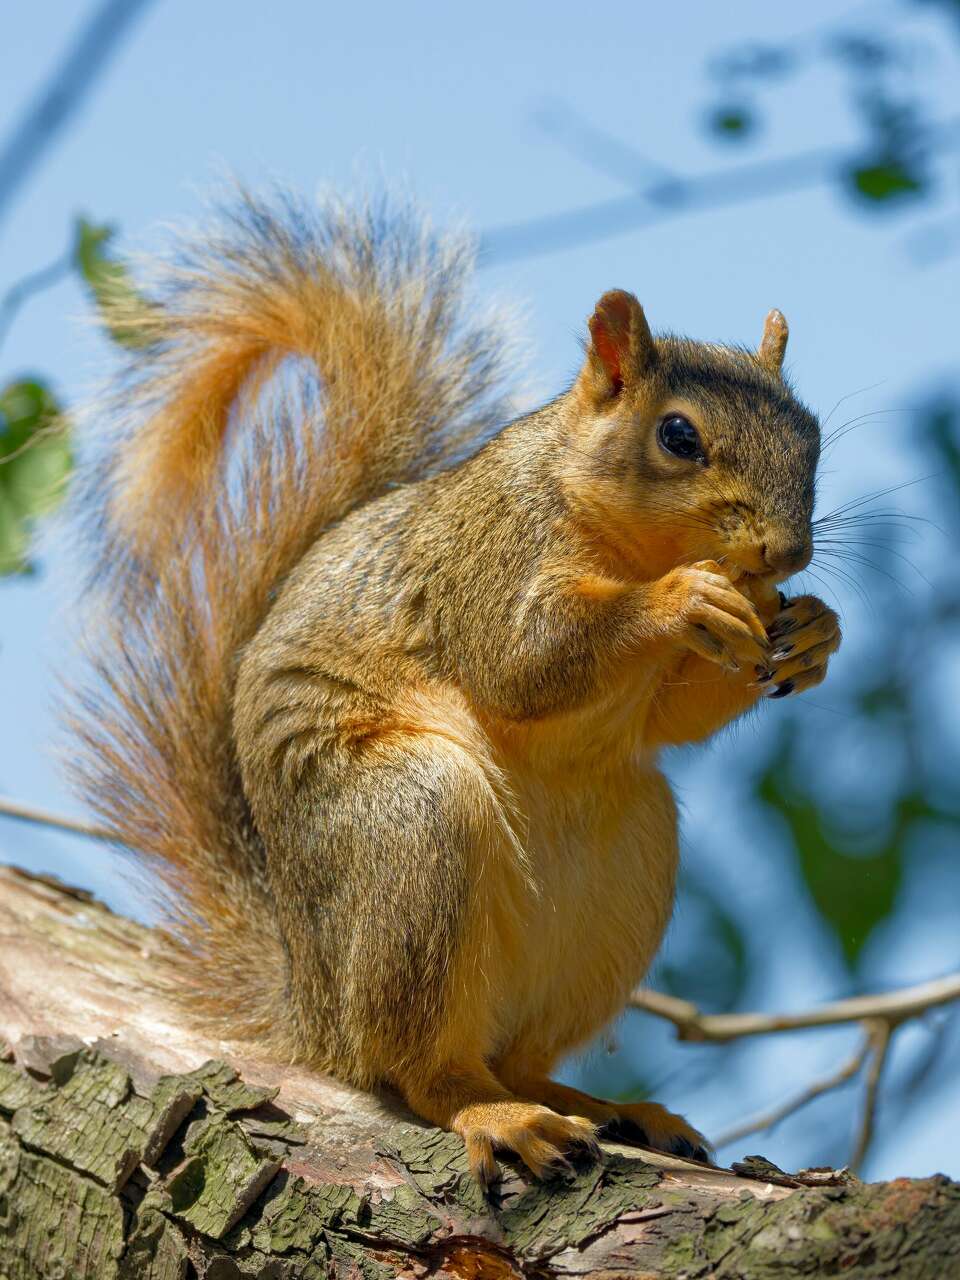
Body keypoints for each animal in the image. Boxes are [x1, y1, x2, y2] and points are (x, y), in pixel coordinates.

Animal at [68, 186, 841, 1184]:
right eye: (678, 436)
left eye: (813, 435)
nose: (786, 553)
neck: (611, 528)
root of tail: (314, 1009)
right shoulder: (489, 557)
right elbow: (523, 661)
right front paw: (682, 598)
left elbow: (672, 716)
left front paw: (815, 630)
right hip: (412, 828)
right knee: (420, 1072)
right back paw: (498, 1115)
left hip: (628, 869)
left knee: (519, 1054)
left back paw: (604, 1105)